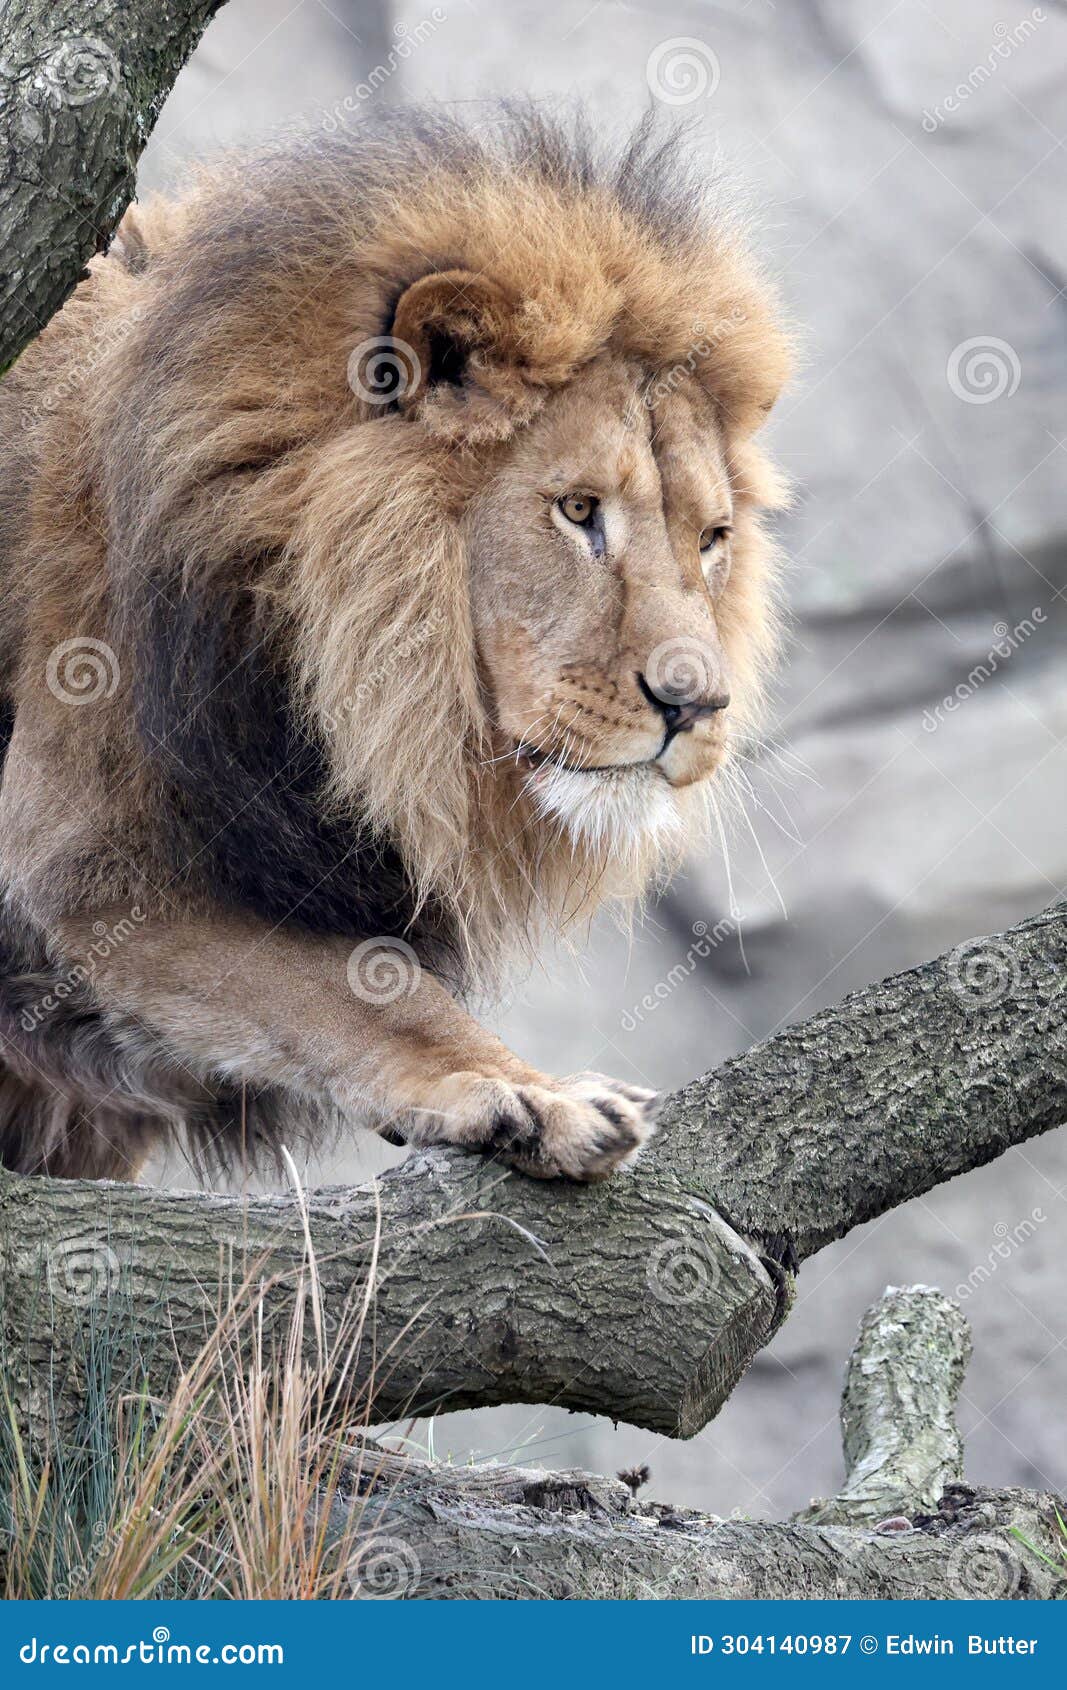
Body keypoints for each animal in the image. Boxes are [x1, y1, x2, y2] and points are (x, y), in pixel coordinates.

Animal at [0, 108, 791, 1185]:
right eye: (578, 511)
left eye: (710, 539)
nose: (697, 707)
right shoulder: (91, 862)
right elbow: (360, 991)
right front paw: (531, 1095)